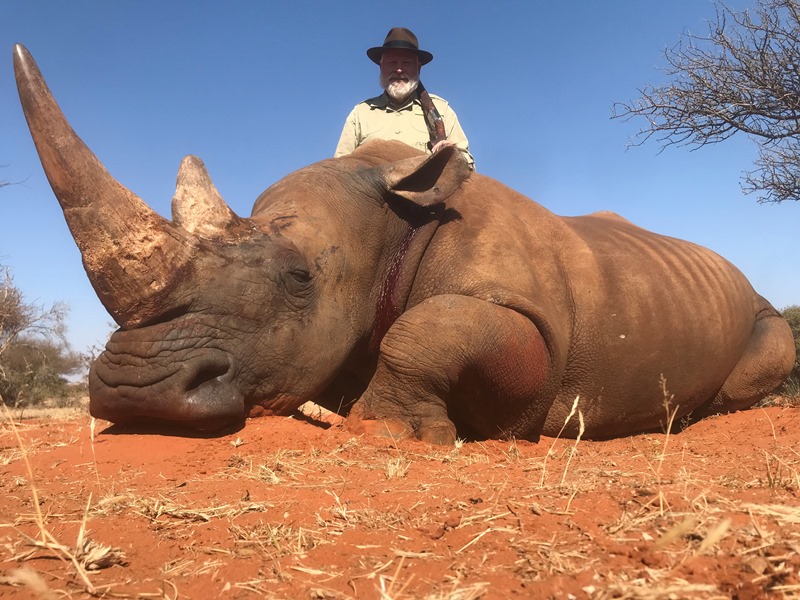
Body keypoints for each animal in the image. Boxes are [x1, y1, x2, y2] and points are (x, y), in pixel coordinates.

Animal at [14, 44, 795, 444]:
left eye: (301, 278)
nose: (134, 391)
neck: (390, 217)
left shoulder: (534, 319)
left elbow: (431, 330)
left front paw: (389, 431)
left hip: (760, 310)